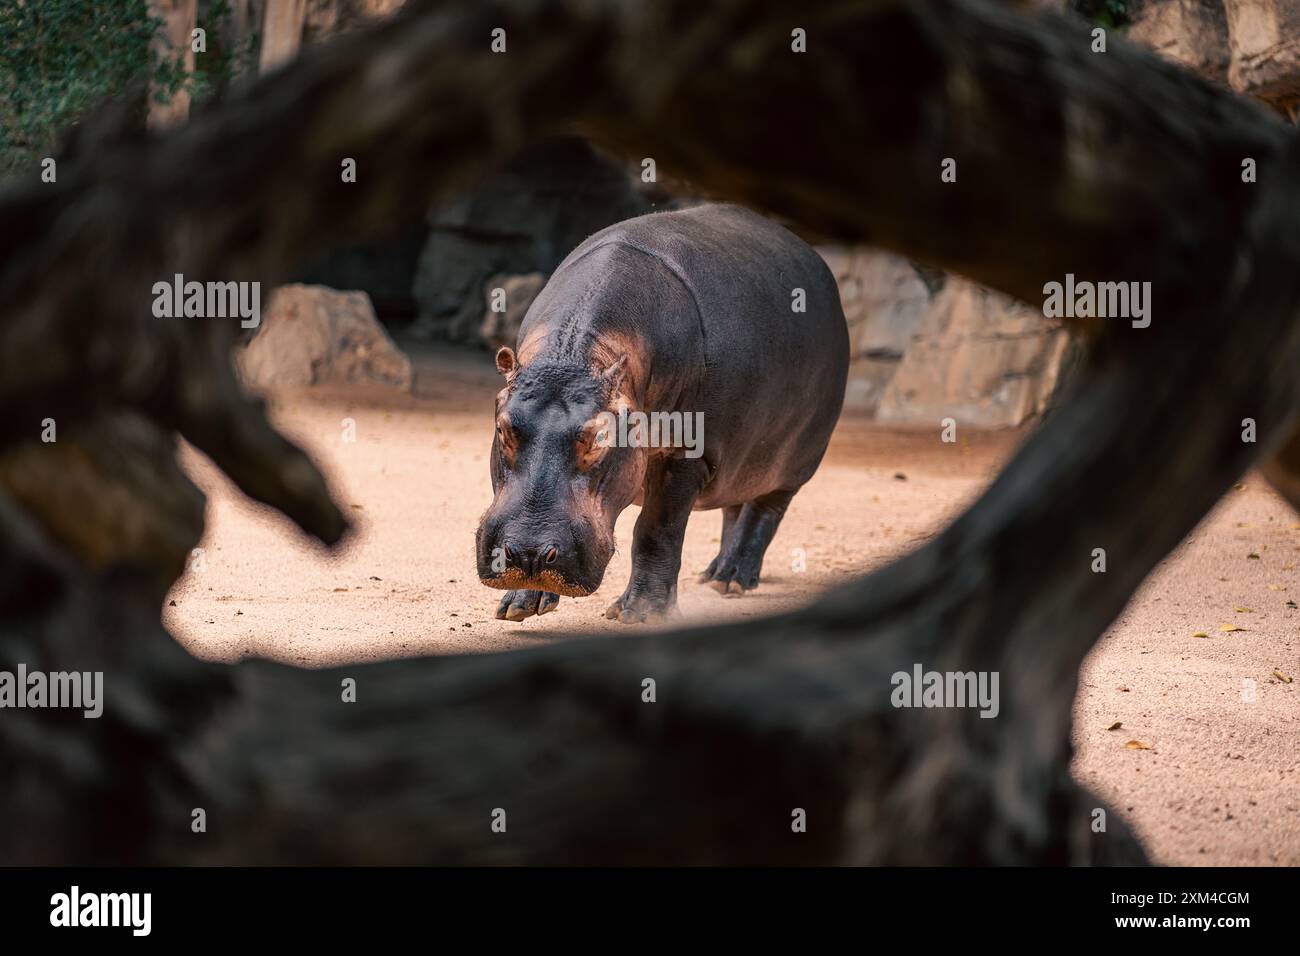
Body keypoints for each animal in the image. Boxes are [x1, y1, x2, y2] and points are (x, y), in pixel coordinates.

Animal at [475, 203, 849, 623]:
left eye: (601, 436)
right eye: (503, 429)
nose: (530, 554)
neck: (573, 358)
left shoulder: (690, 453)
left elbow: (656, 530)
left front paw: (641, 613)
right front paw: (520, 605)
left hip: (797, 457)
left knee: (766, 510)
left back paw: (735, 578)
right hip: (744, 449)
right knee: (735, 502)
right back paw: (715, 577)